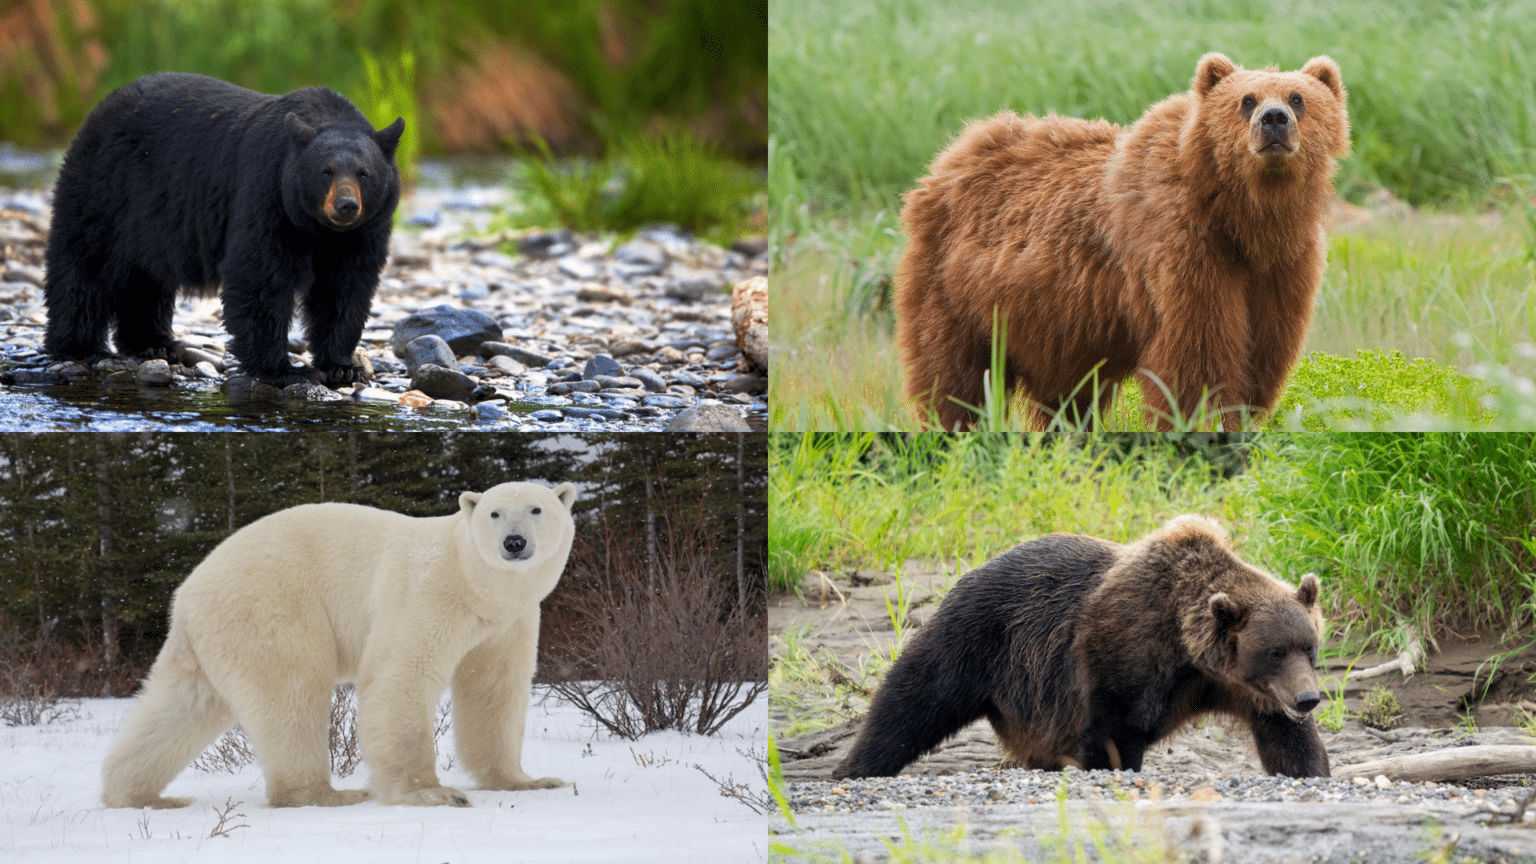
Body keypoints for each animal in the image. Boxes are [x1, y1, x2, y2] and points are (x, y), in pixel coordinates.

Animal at [44, 72, 403, 388]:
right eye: (325, 171)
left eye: (363, 173)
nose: (346, 206)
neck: (319, 230)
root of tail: (102, 106)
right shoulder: (267, 194)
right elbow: (261, 277)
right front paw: (284, 370)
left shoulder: (363, 232)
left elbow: (344, 289)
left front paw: (342, 367)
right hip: (108, 187)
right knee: (87, 263)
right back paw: (80, 346)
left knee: (145, 277)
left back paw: (154, 344)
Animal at [100, 481, 577, 809]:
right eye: (494, 513)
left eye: (536, 508)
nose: (514, 543)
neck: (474, 583)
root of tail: (186, 593)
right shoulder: (426, 594)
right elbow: (402, 675)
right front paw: (434, 793)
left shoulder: (507, 623)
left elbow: (494, 689)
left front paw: (529, 781)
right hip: (272, 607)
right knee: (292, 694)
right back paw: (324, 794)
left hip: (211, 638)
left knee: (179, 706)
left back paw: (139, 796)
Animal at [832, 515, 1328, 779]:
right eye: (1275, 651)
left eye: (1309, 647)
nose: (1308, 697)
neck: (1189, 655)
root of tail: (969, 571)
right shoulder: (1124, 654)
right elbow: (1112, 732)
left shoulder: (1246, 690)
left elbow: (1288, 739)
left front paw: (1310, 768)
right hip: (977, 636)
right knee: (914, 697)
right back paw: (855, 766)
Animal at [896, 53, 1350, 431]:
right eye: (1246, 99)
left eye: (1297, 98)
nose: (1273, 120)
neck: (1242, 221)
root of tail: (950, 157)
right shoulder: (1183, 251)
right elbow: (1197, 359)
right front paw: (1200, 423)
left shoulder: (1282, 269)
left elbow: (1262, 354)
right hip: (956, 291)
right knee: (954, 376)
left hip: (1052, 324)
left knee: (1066, 396)